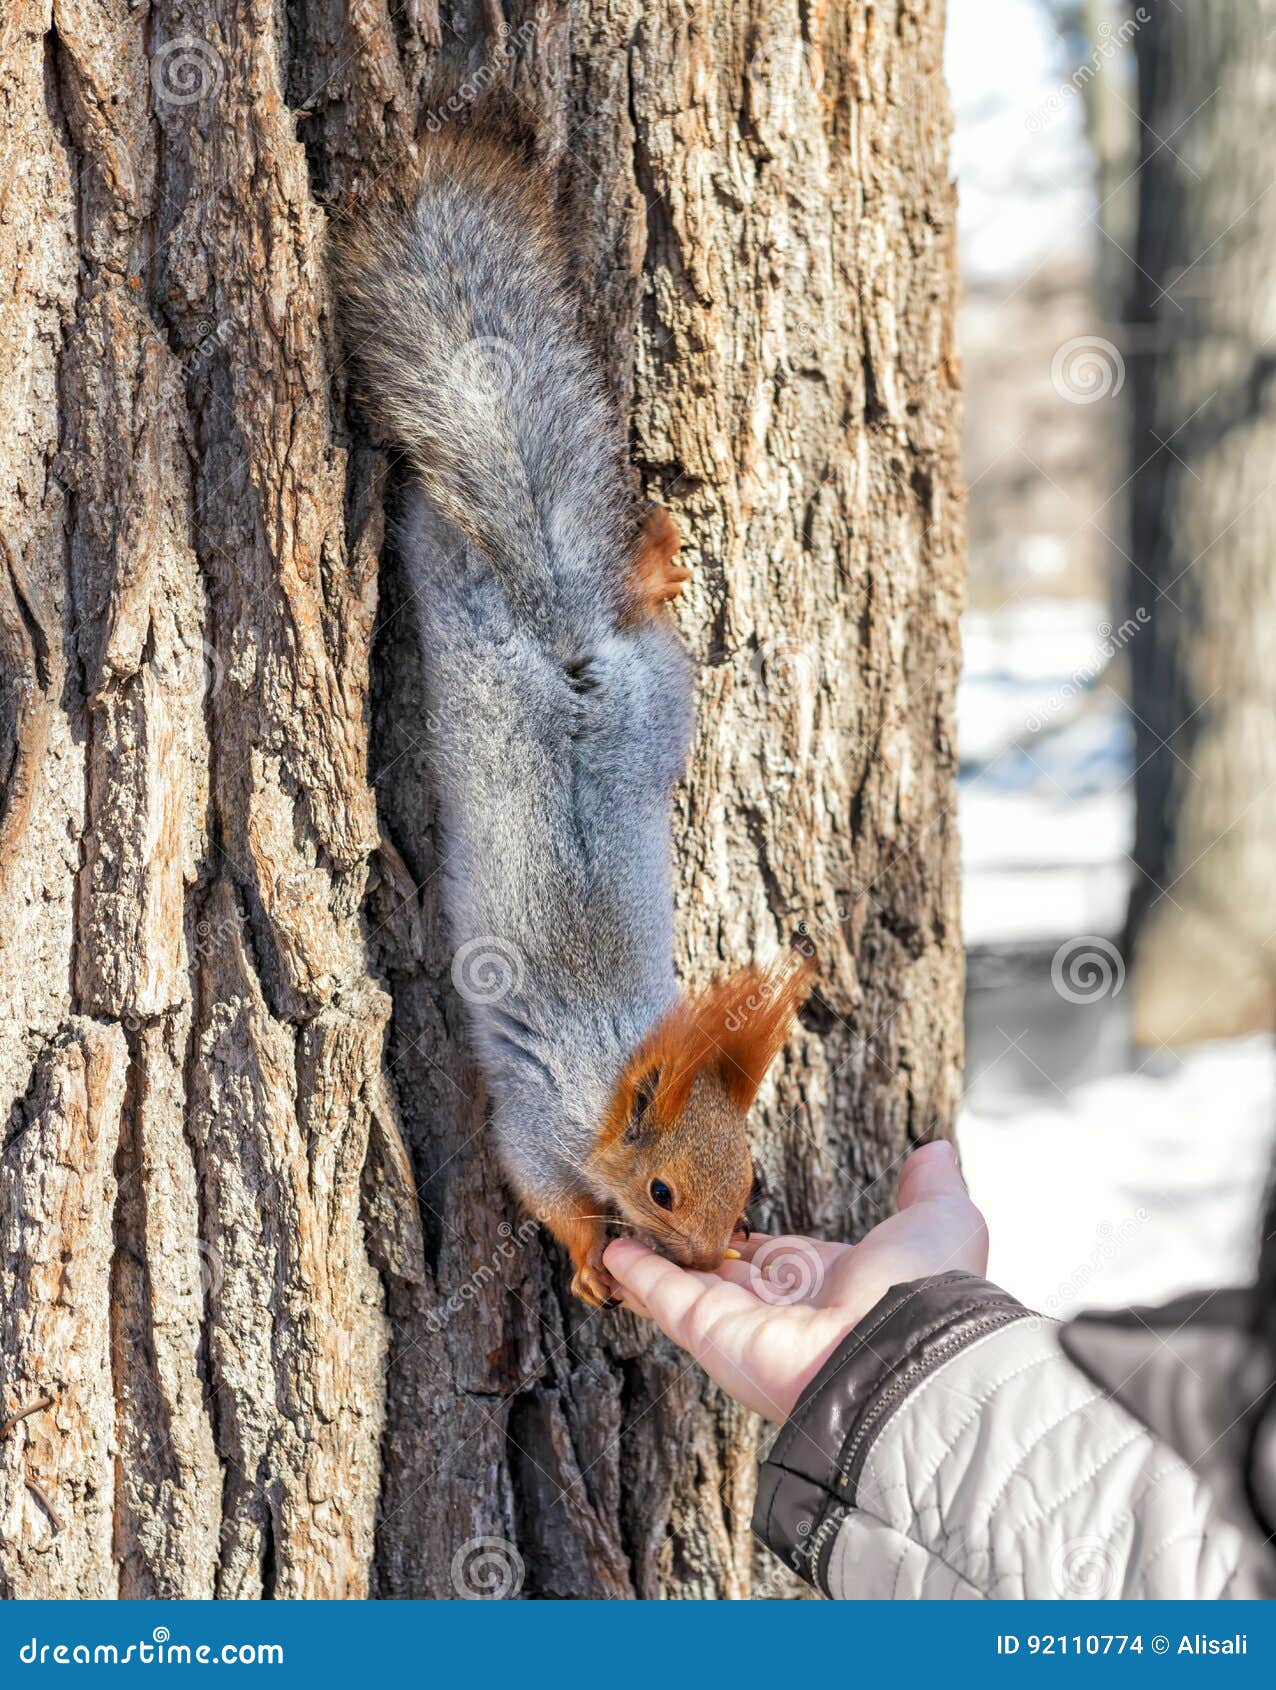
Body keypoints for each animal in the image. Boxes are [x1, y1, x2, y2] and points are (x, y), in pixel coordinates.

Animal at [335, 97, 816, 1307]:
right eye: (663, 1193)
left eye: (746, 1180)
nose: (714, 1254)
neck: (610, 1069)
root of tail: (559, 635)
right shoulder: (537, 1128)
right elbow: (548, 1197)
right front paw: (596, 1263)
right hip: (463, 612)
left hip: (659, 696)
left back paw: (649, 560)